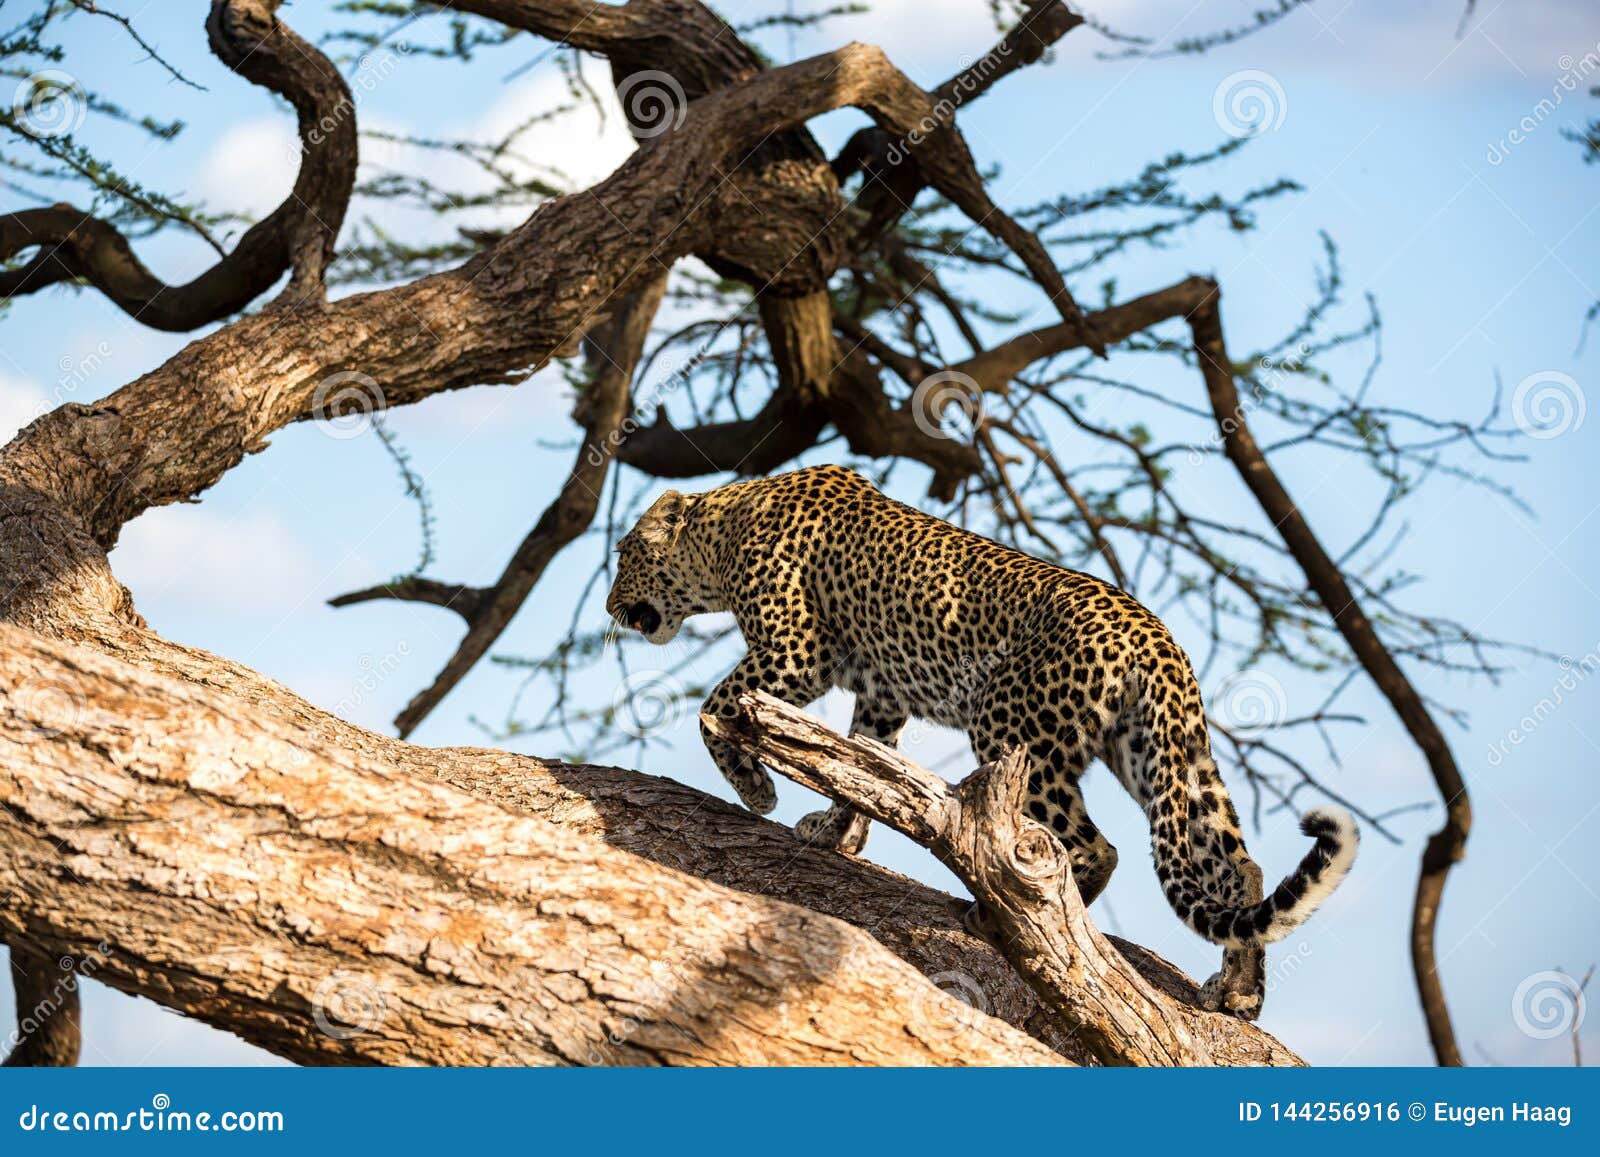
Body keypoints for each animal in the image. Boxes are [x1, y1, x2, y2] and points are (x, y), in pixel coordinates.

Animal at [605, 464, 1358, 1018]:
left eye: (625, 555)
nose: (610, 607)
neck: (723, 532)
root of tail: (1156, 637)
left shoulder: (797, 651)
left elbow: (714, 705)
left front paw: (755, 786)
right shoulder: (880, 693)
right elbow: (859, 756)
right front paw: (836, 831)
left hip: (1011, 726)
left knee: (1091, 849)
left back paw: (1014, 922)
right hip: (1161, 755)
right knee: (1238, 870)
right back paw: (1238, 993)